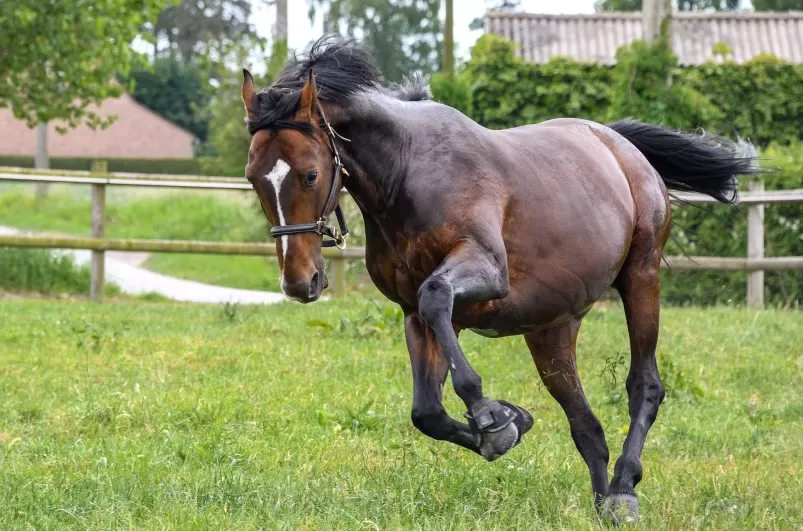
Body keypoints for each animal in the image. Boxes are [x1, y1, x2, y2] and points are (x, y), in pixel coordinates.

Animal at [240, 39, 768, 520]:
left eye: (310, 175)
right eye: (252, 177)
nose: (299, 282)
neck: (406, 172)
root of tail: (620, 145)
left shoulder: (484, 273)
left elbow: (438, 301)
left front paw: (492, 417)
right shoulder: (413, 314)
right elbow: (426, 412)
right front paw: (509, 423)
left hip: (641, 277)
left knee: (645, 385)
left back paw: (623, 490)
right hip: (551, 329)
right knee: (586, 426)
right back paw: (601, 500)